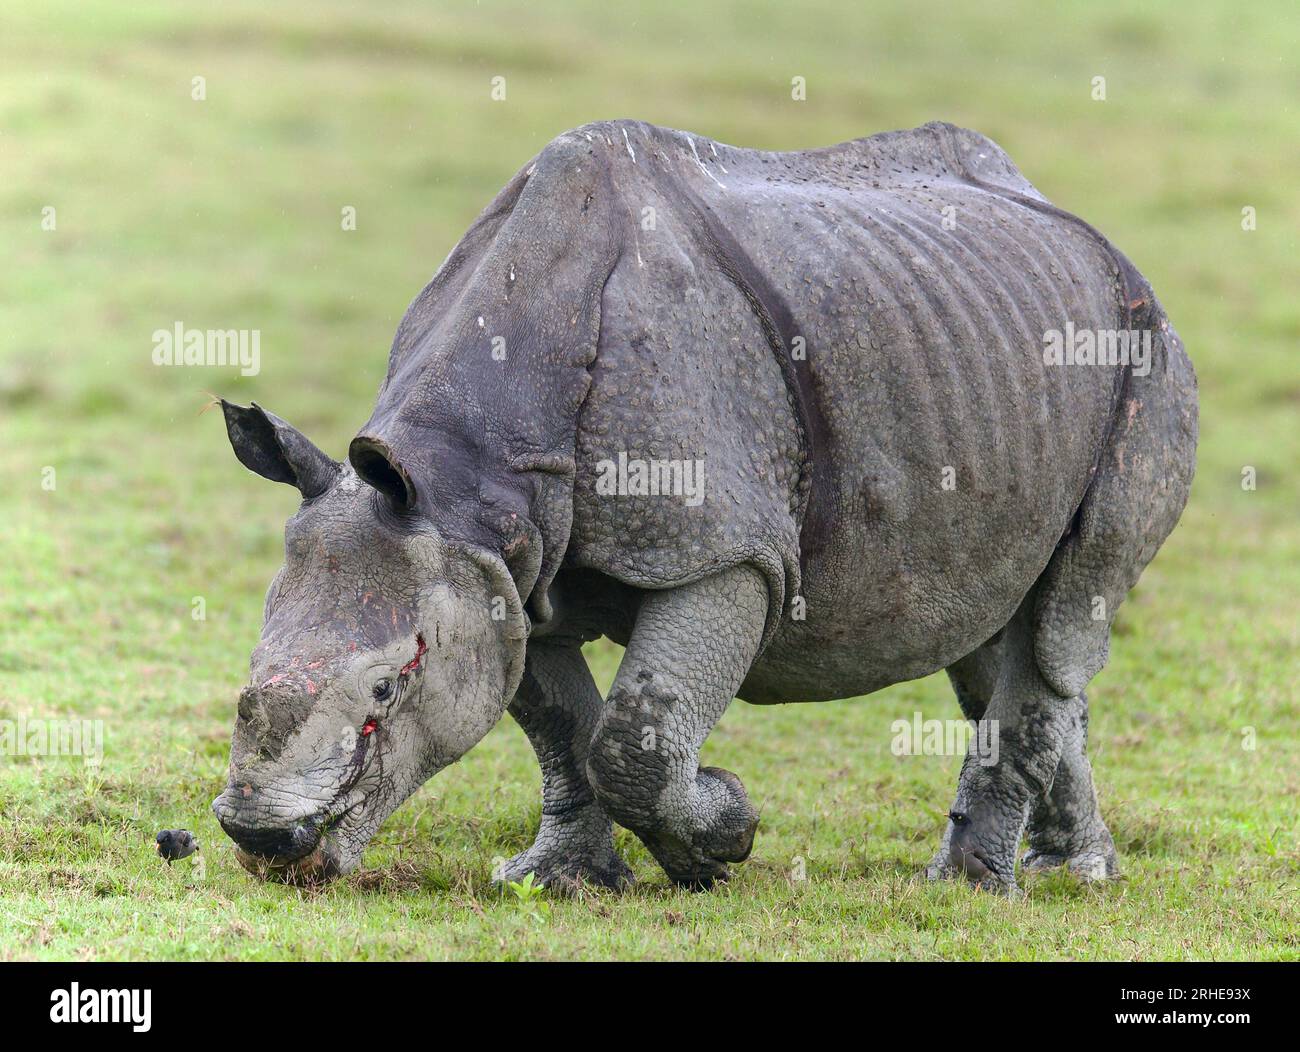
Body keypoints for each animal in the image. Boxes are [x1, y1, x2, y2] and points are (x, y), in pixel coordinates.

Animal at [211, 120, 1197, 894]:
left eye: (387, 688)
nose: (263, 840)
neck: (468, 476)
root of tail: (1068, 215)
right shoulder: (502, 564)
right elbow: (565, 729)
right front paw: (561, 880)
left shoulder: (719, 546)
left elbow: (633, 739)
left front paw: (723, 837)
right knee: (999, 626)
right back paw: (1075, 873)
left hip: (1147, 352)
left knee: (1064, 616)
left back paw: (971, 888)